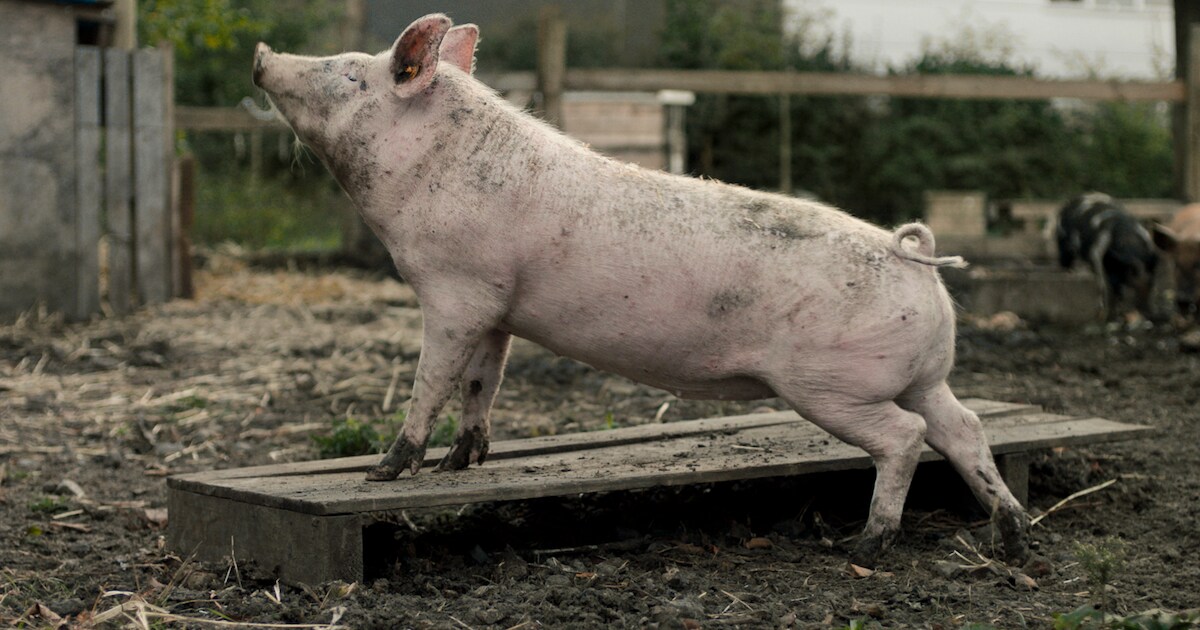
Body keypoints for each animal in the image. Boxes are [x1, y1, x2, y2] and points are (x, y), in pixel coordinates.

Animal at [251, 13, 1029, 565]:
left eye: (349, 74)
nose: (260, 53)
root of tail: (913, 260)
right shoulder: (496, 304)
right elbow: (482, 382)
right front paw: (461, 461)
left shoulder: (453, 291)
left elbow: (433, 380)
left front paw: (385, 473)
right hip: (924, 377)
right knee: (964, 428)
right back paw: (1011, 534)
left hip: (832, 386)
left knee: (906, 438)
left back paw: (864, 546)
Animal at [1055, 193, 1159, 321]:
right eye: (1133, 284)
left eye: (1151, 283)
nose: (1150, 314)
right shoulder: (1096, 254)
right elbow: (1104, 285)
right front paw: (1104, 315)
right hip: (1063, 243)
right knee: (1066, 258)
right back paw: (1068, 271)